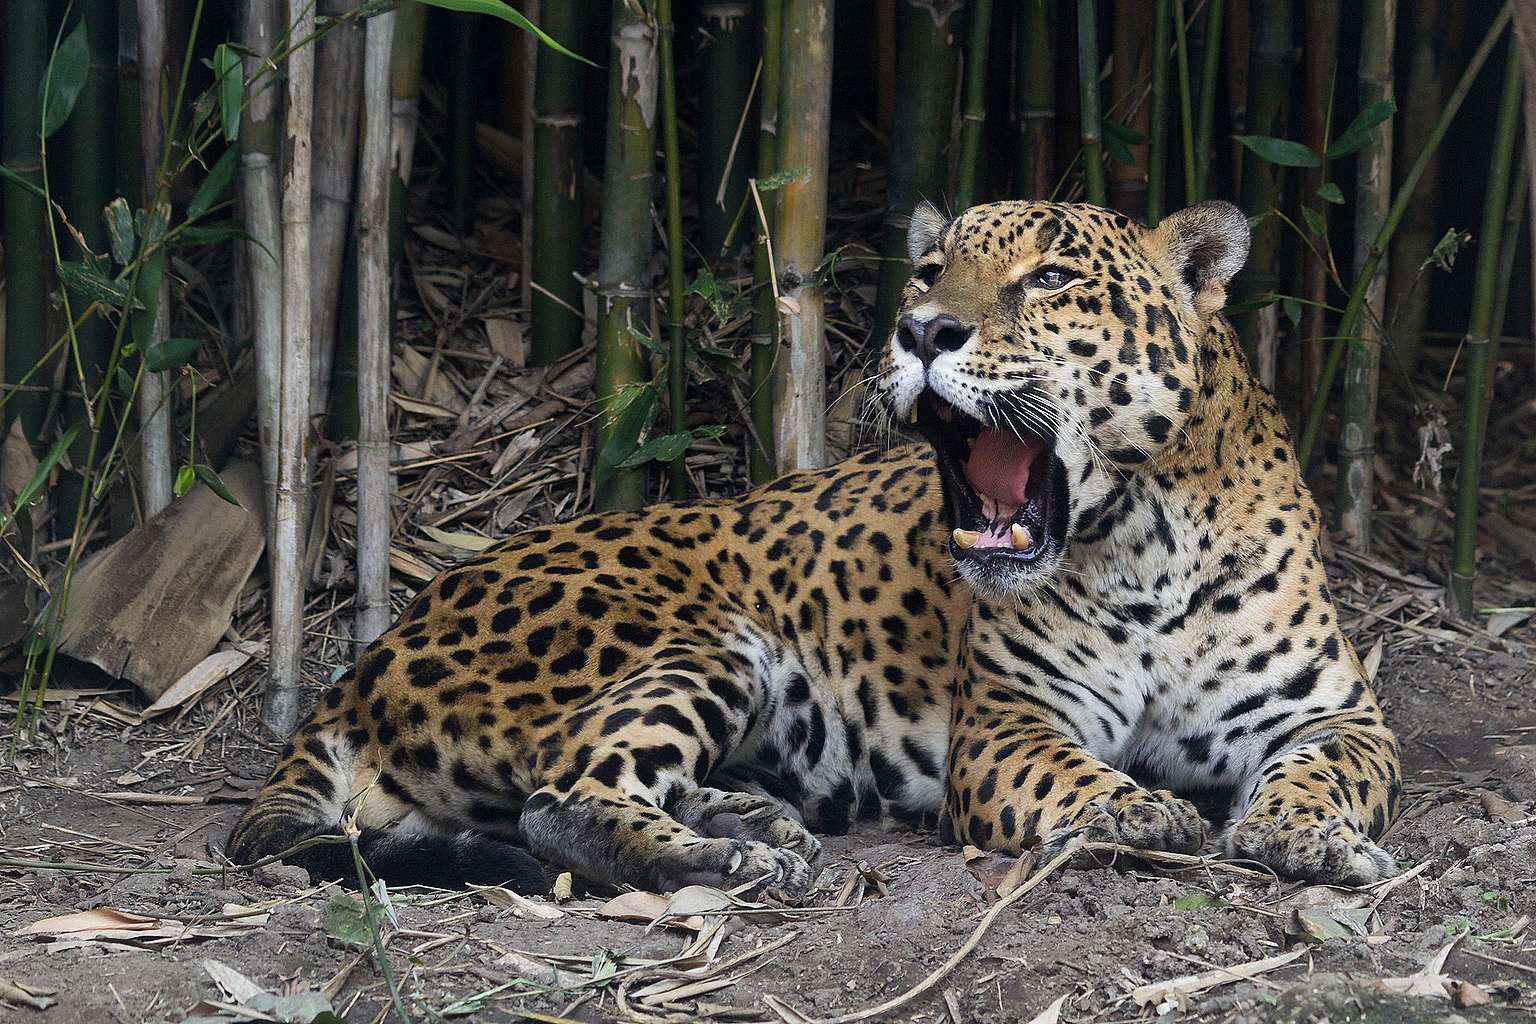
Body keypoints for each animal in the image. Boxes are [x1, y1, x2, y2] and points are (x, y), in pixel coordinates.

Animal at [229, 198, 1401, 896]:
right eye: (928, 269)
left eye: (1051, 279)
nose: (922, 330)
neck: (1141, 543)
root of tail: (365, 661)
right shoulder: (1009, 726)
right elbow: (1078, 776)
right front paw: (1144, 808)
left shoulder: (1335, 712)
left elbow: (1330, 769)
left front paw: (1302, 832)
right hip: (700, 641)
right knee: (564, 797)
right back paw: (742, 855)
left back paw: (758, 816)